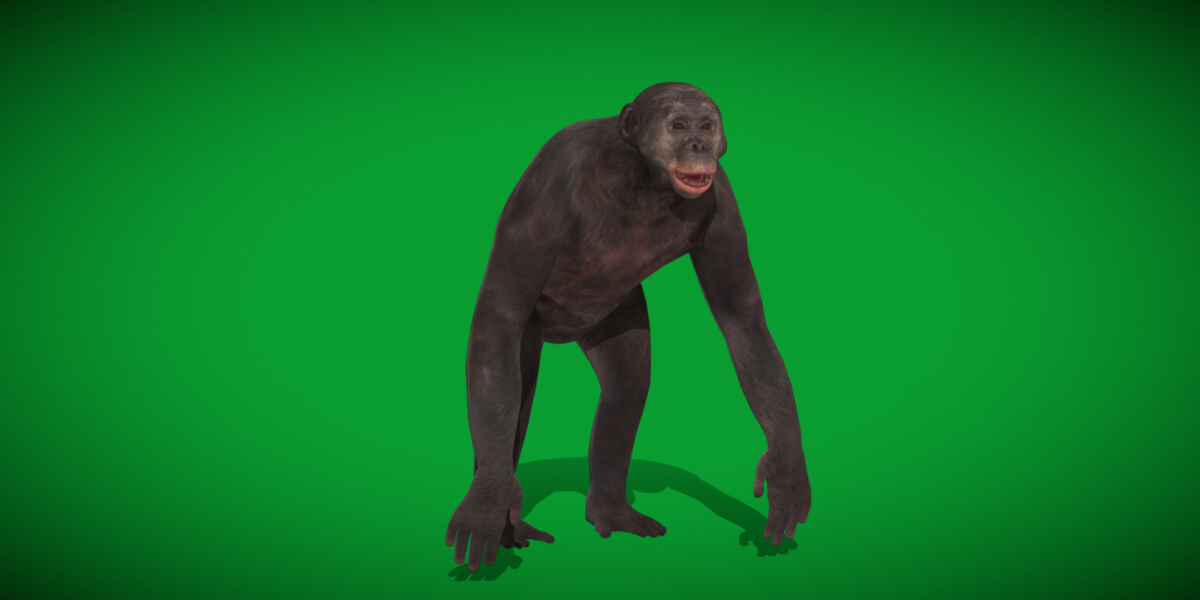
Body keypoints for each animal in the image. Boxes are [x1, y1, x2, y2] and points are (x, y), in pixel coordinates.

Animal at [445, 83, 811, 572]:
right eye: (678, 125)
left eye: (707, 125)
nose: (699, 145)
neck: (643, 182)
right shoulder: (548, 184)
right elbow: (501, 312)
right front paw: (487, 506)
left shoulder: (724, 207)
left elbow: (744, 321)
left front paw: (786, 475)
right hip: (532, 333)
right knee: (507, 394)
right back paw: (507, 523)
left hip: (613, 317)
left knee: (626, 387)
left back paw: (610, 511)